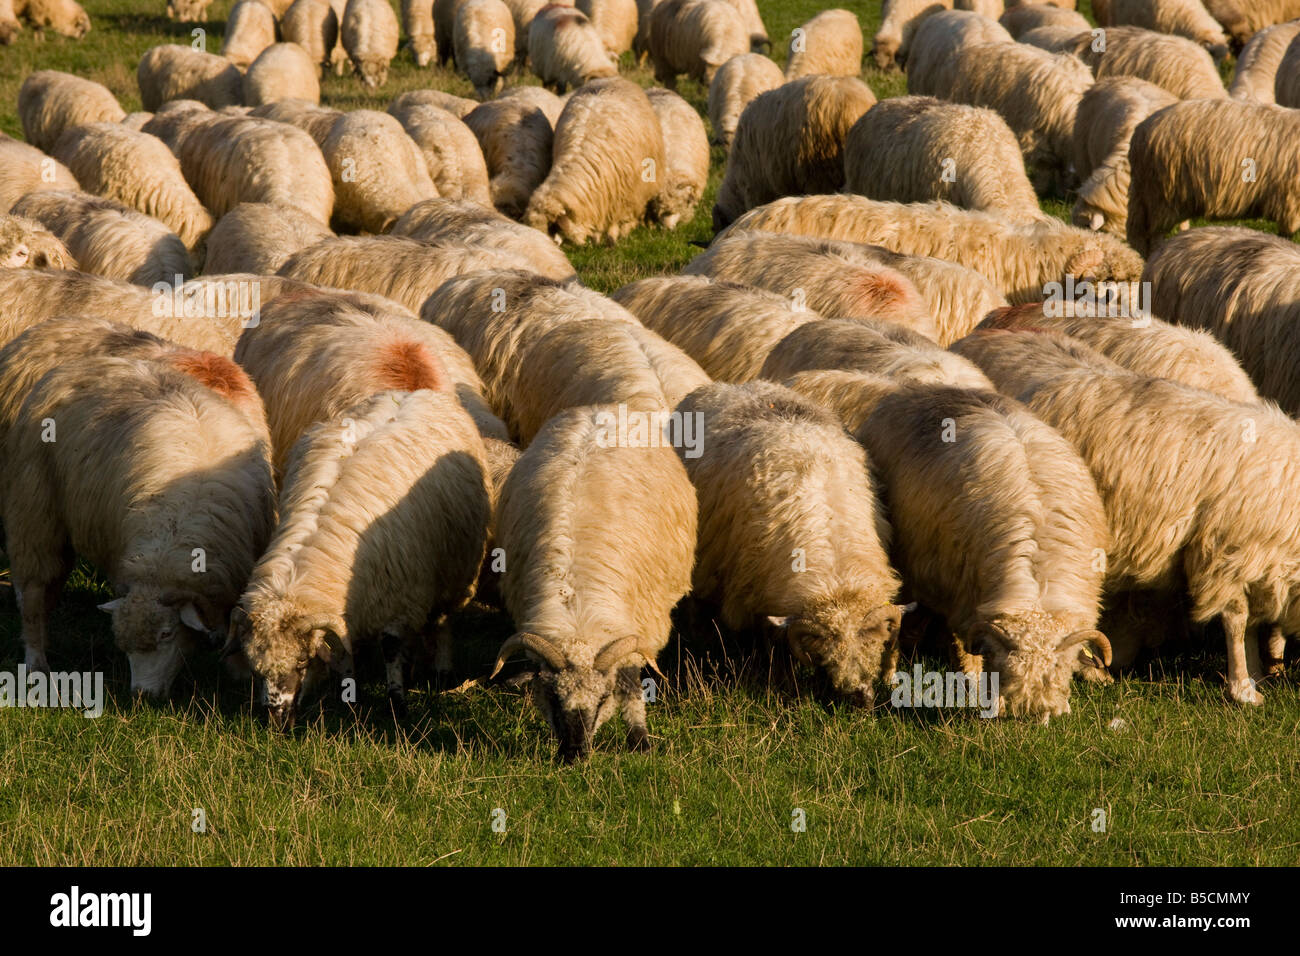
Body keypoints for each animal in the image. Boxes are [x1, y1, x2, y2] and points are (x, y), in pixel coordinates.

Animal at [2, 356, 274, 695]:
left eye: (167, 634)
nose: (141, 694)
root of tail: (76, 365)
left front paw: (239, 672)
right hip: (35, 511)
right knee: (34, 595)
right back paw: (37, 661)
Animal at [232, 389, 490, 721]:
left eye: (302, 661)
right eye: (256, 669)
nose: (277, 720)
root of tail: (413, 392)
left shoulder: (400, 599)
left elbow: (391, 649)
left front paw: (397, 703)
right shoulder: (344, 609)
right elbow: (343, 648)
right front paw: (349, 699)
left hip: (455, 567)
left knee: (442, 619)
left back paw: (442, 670)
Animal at [491, 404, 696, 760]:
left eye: (602, 699)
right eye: (554, 698)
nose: (574, 754)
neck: (577, 602)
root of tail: (598, 409)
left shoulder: (639, 625)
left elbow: (630, 682)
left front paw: (639, 739)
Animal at [524, 78, 664, 244]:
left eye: (551, 228)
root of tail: (610, 78)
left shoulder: (623, 194)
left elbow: (616, 220)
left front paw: (613, 237)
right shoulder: (600, 197)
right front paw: (597, 238)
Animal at [848, 377, 1111, 720]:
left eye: (1058, 669)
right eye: (1006, 670)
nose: (1030, 712)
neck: (1038, 572)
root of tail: (914, 388)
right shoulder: (962, 596)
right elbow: (963, 646)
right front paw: (972, 684)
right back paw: (890, 675)